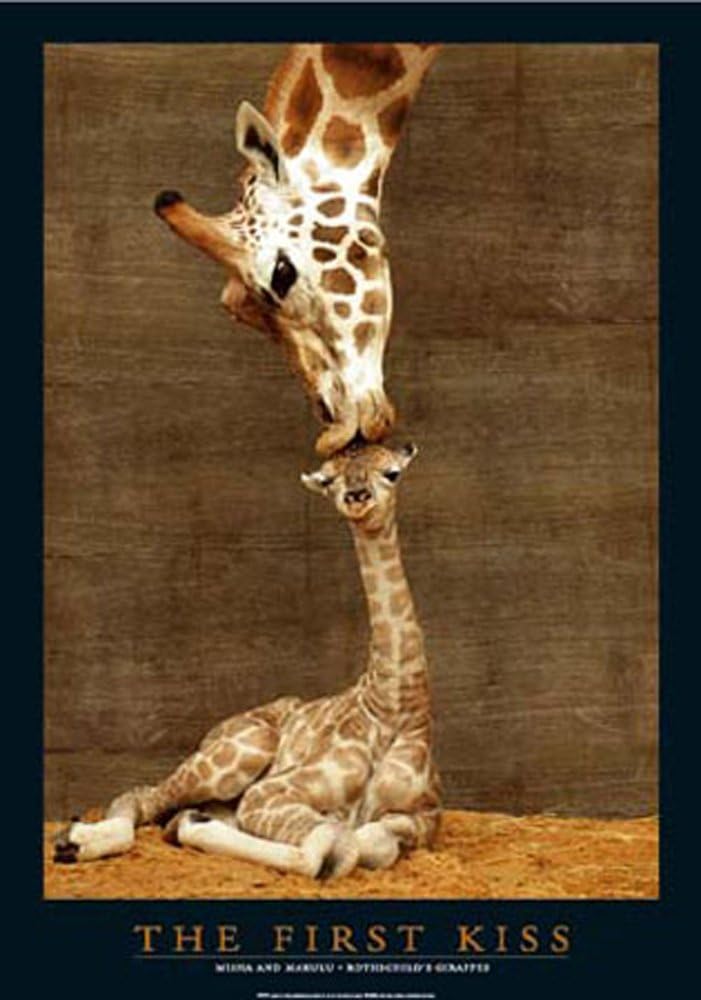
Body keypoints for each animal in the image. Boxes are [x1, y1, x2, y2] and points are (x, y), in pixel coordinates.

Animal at [54, 441, 441, 879]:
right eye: (329, 480)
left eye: (392, 472)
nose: (357, 496)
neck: (395, 706)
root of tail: (213, 733)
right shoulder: (268, 791)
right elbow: (337, 844)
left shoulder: (426, 818)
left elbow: (374, 841)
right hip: (243, 750)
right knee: (141, 797)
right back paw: (75, 841)